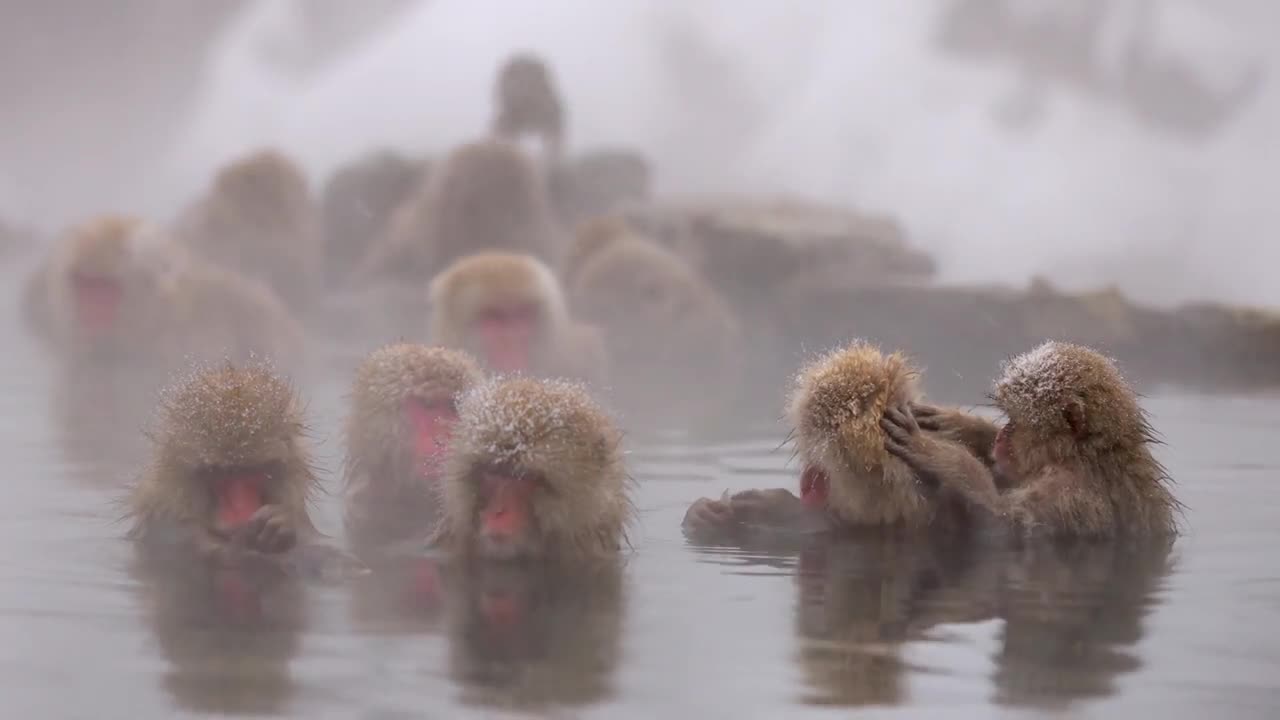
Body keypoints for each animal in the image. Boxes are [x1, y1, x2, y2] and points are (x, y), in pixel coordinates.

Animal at [886, 341, 1182, 540]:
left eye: (1017, 422)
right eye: (1009, 419)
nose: (1002, 437)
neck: (1083, 456)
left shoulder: (1069, 494)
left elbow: (1007, 526)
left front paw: (938, 455)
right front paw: (962, 426)